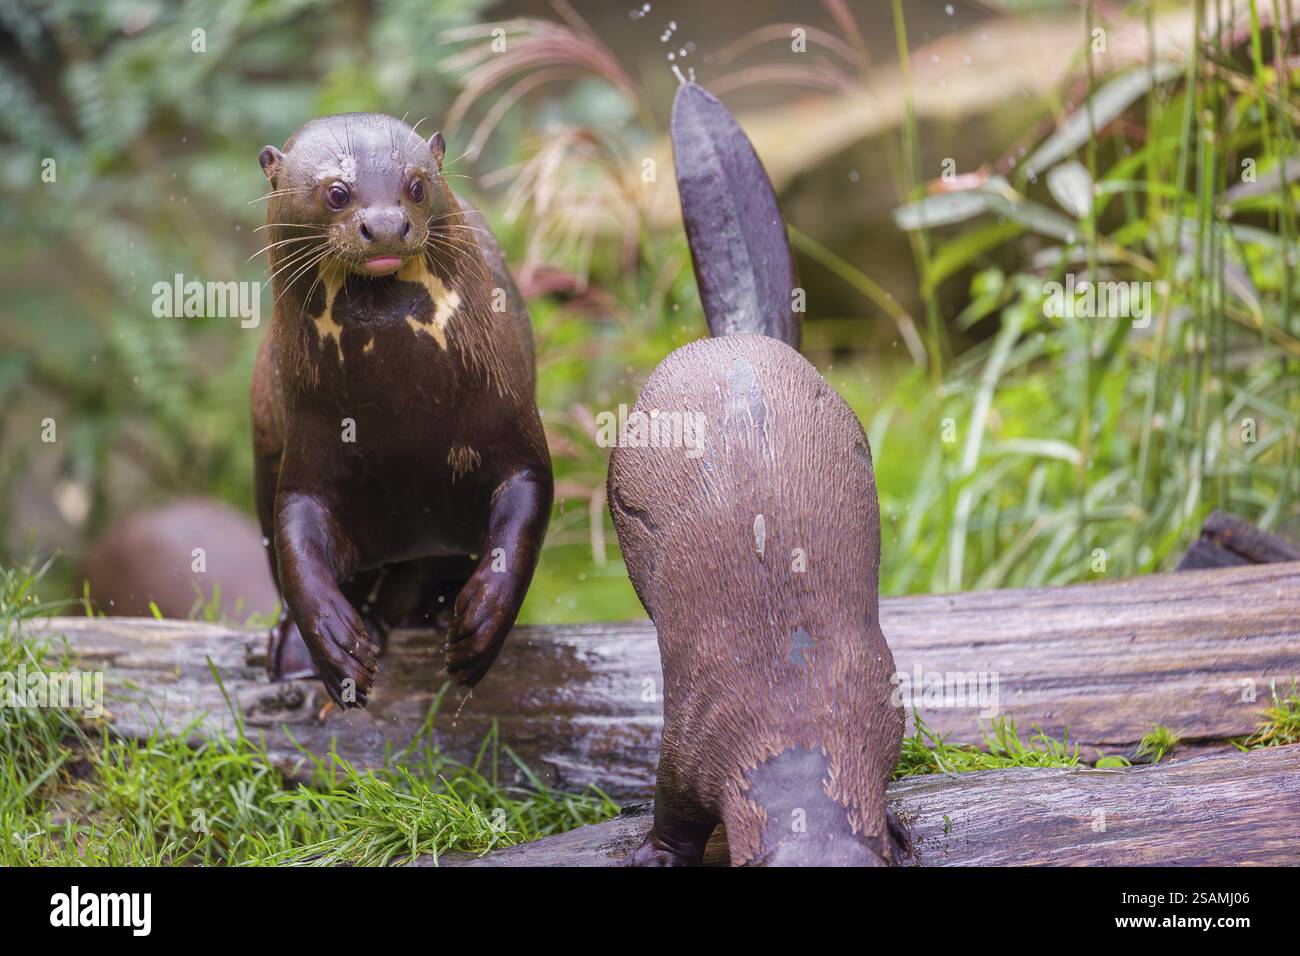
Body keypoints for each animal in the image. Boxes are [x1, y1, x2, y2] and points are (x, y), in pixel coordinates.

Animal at [251, 113, 552, 707]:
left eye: (415, 185)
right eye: (337, 192)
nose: (387, 226)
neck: (403, 405)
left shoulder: (510, 420)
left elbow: (527, 506)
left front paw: (482, 623)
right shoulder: (311, 447)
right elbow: (297, 540)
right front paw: (331, 644)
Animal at [607, 84, 904, 866]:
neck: (793, 720)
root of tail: (741, 336)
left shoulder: (882, 706)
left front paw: (899, 828)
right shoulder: (692, 741)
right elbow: (672, 808)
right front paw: (655, 853)